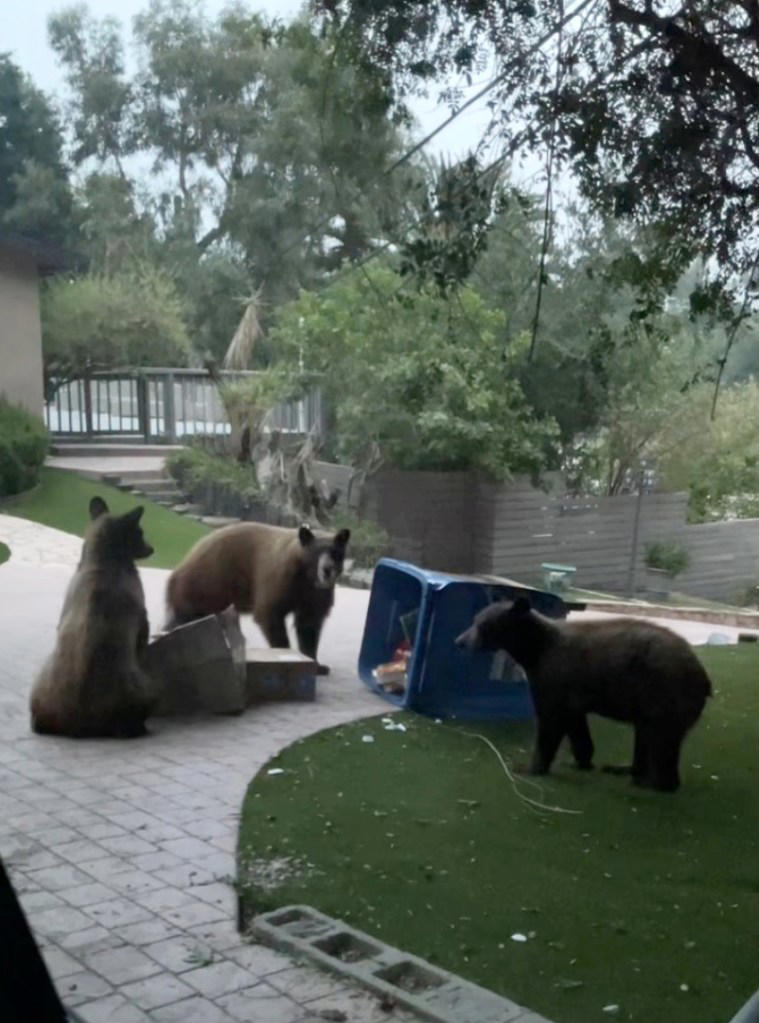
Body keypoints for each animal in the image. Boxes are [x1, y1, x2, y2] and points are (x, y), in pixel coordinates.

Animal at [30, 497, 156, 739]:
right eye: (140, 532)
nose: (152, 548)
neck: (102, 560)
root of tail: (78, 725)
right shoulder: (144, 621)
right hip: (145, 686)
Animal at [165, 522, 350, 675]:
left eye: (335, 553)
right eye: (315, 552)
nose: (327, 569)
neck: (306, 578)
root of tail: (179, 568)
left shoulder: (316, 595)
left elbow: (309, 625)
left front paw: (319, 665)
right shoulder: (279, 579)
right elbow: (270, 613)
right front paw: (284, 652)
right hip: (204, 587)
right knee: (187, 618)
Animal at [455, 597, 712, 792]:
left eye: (481, 623)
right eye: (474, 620)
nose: (459, 641)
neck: (535, 648)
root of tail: (704, 678)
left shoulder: (553, 675)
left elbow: (550, 722)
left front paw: (530, 767)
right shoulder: (571, 691)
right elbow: (576, 725)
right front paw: (580, 760)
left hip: (663, 692)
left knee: (661, 740)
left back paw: (652, 782)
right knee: (645, 736)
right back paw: (624, 769)